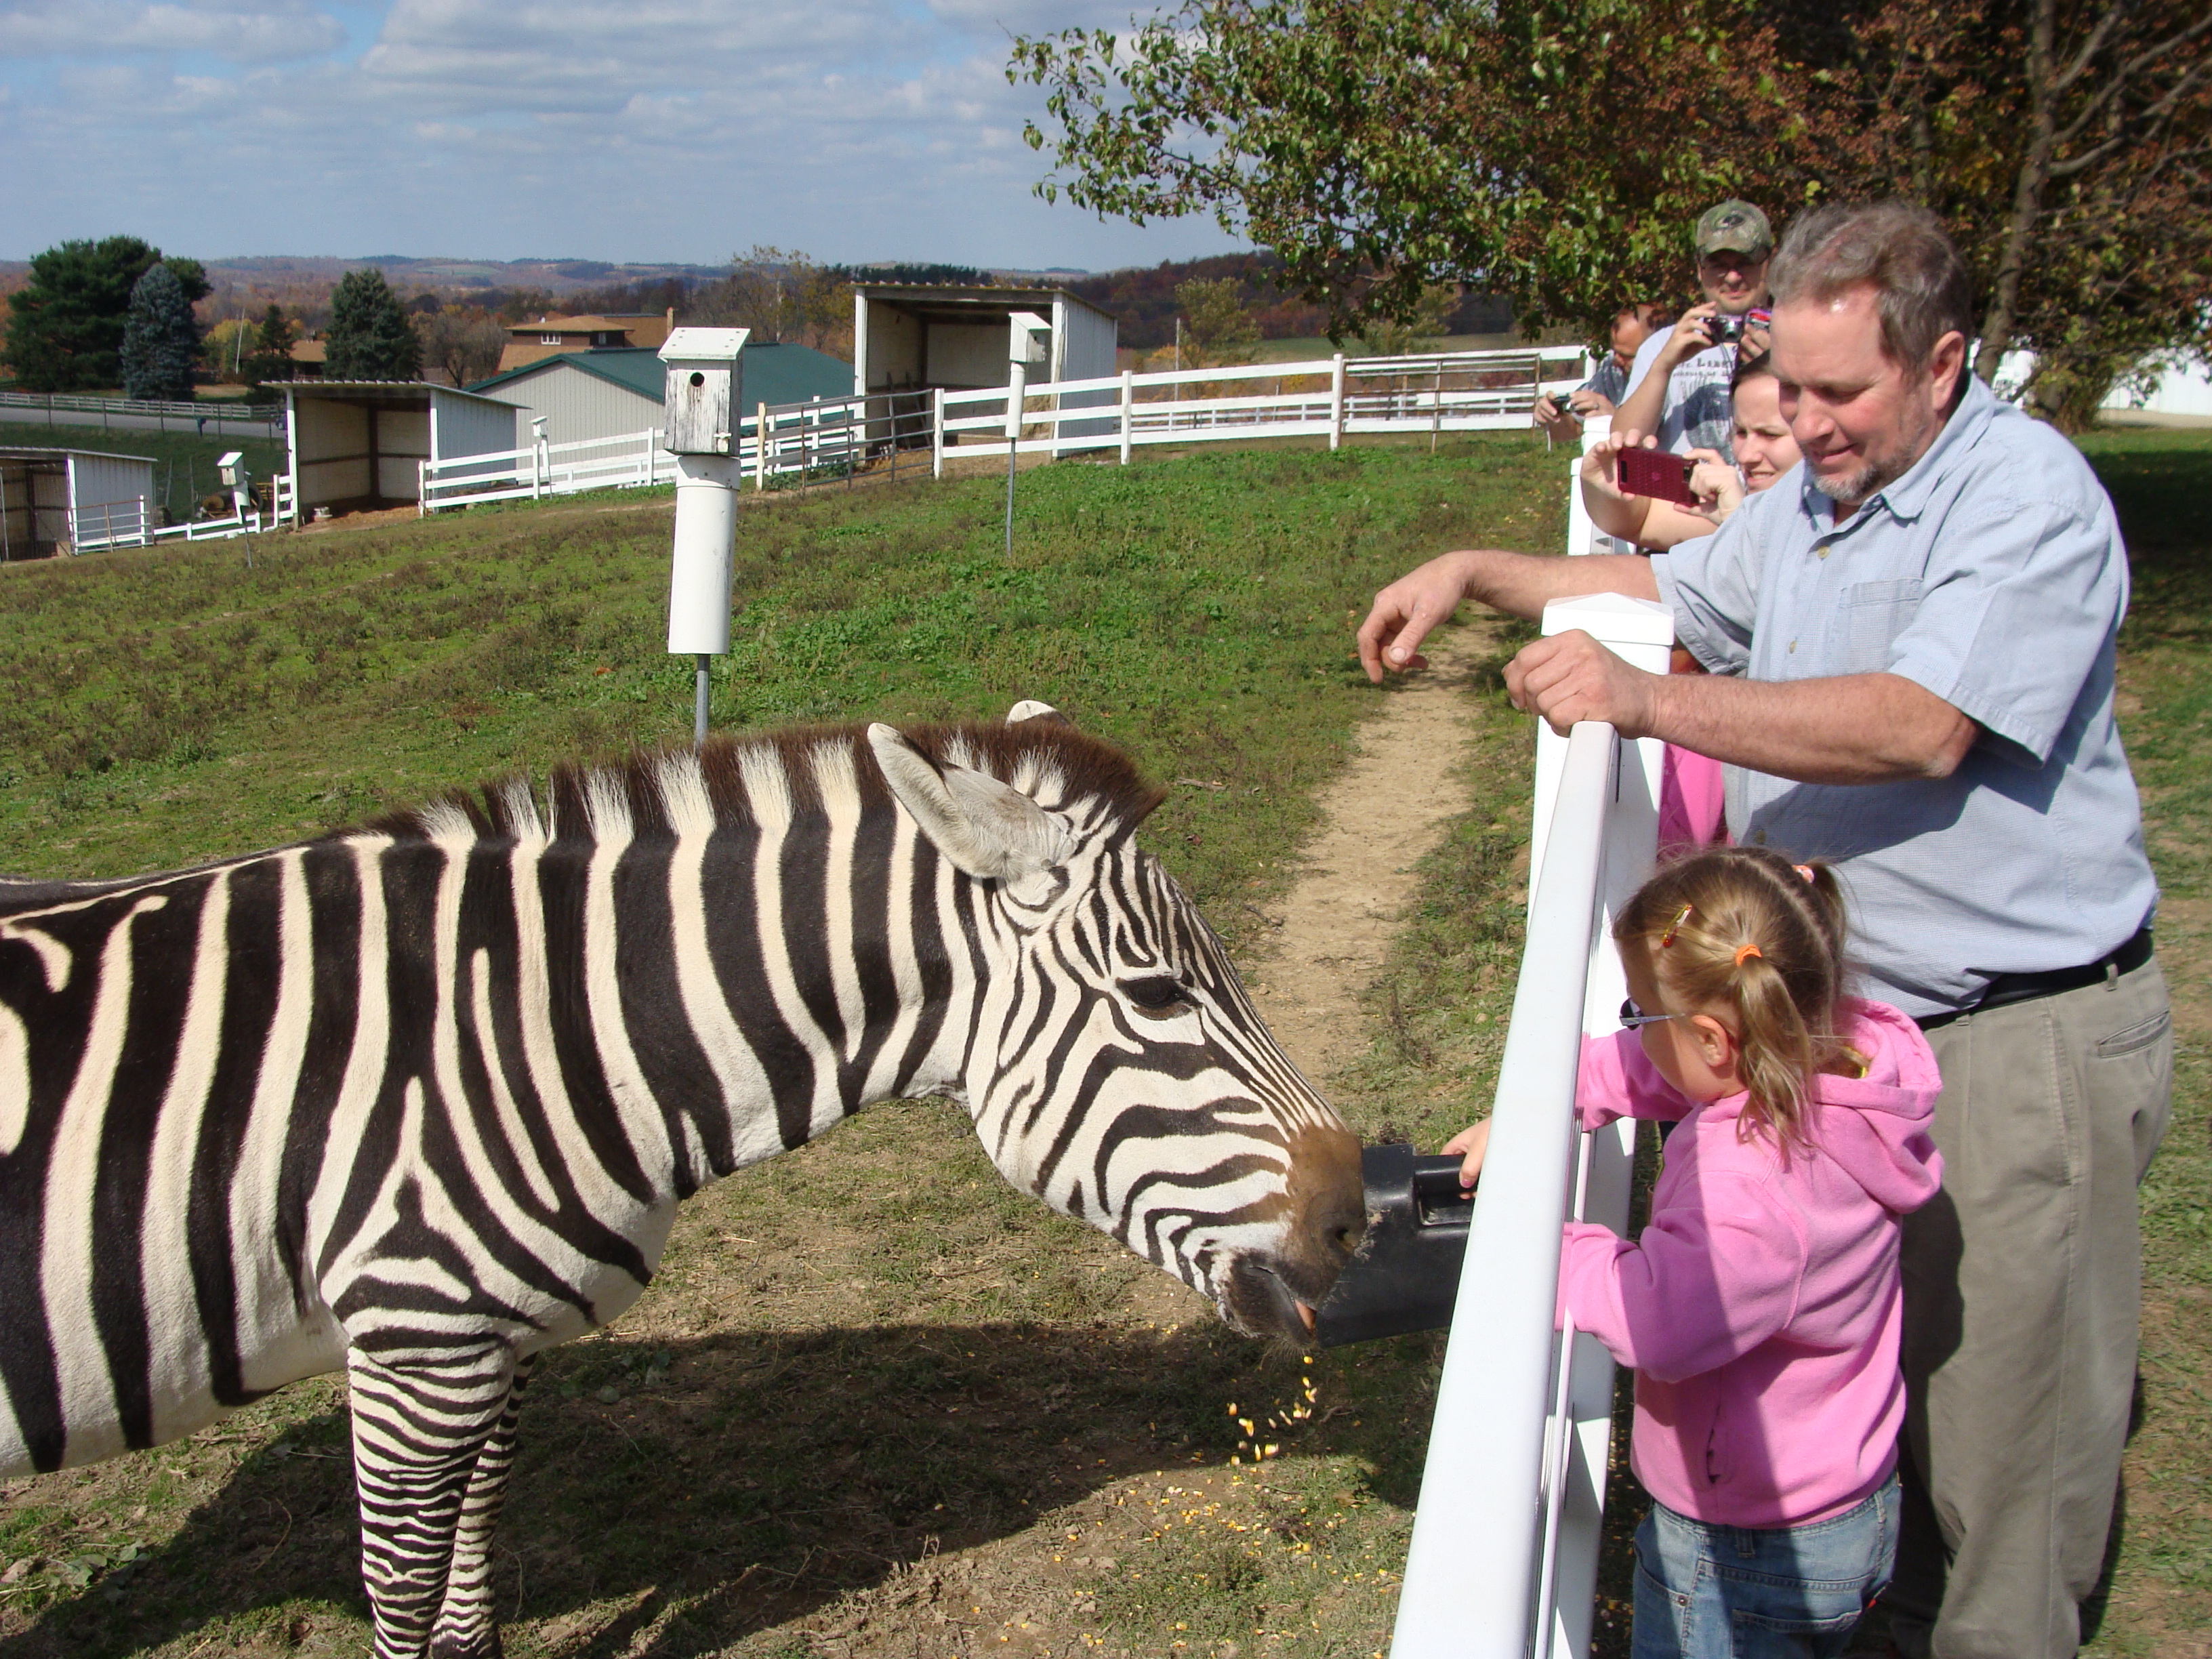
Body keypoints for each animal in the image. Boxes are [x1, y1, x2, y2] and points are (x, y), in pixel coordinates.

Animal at [0, 703, 1365, 1659]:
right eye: (1157, 994)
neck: (544, 1025)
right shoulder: (413, 1339)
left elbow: (465, 1594)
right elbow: (403, 1593)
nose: (1355, 1216)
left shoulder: (498, 1346)